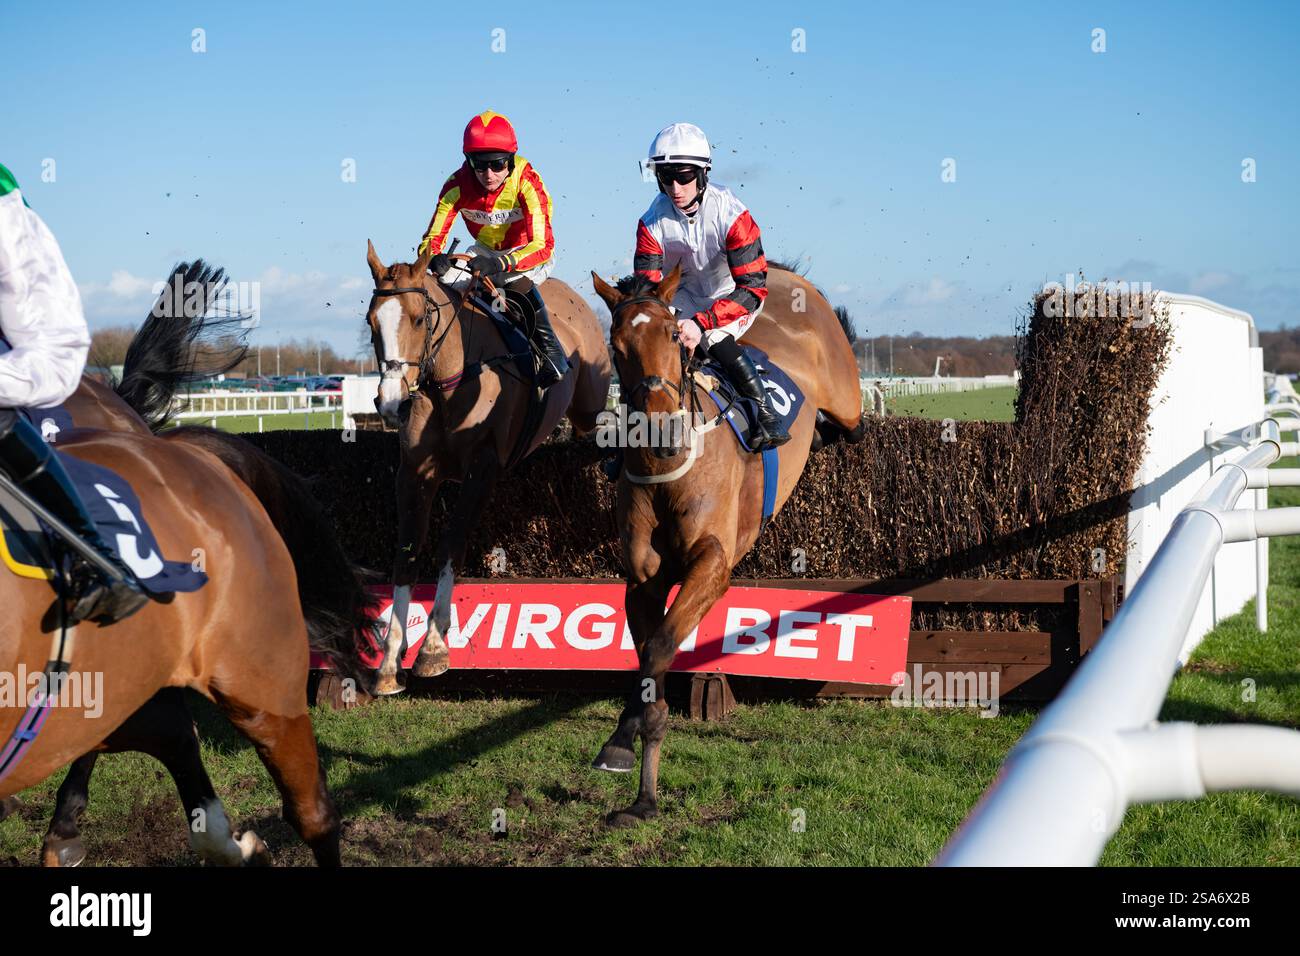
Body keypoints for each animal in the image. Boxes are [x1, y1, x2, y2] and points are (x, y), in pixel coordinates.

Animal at [363, 240, 611, 694]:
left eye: (419, 318)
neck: (450, 379)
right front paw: (389, 660)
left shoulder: (482, 469)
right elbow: (407, 552)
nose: (392, 402)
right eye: (372, 322)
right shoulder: (413, 474)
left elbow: (451, 543)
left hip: (589, 404)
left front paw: (434, 647)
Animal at [588, 262, 865, 825]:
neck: (671, 467)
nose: (660, 433)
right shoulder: (643, 579)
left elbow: (661, 645)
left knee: (853, 424)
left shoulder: (713, 565)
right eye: (616, 345)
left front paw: (632, 751)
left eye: (674, 335)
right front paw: (638, 780)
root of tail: (781, 274)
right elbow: (648, 655)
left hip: (847, 399)